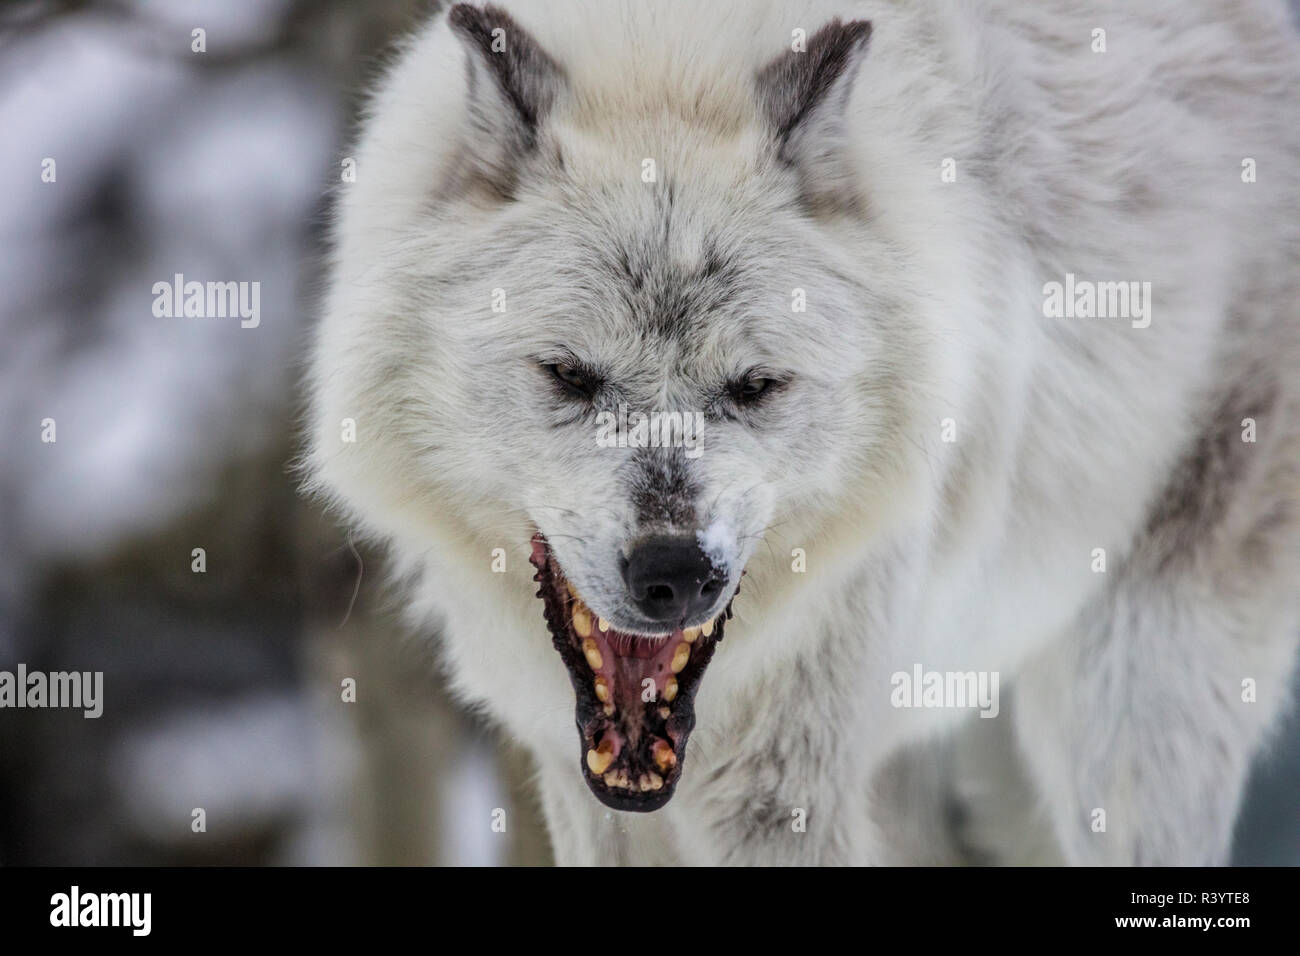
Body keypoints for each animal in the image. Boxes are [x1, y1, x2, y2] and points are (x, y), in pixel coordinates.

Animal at [306, 0, 1300, 864]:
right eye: (569, 375)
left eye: (754, 386)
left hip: (1130, 700)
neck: (666, 54)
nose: (675, 574)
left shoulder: (783, 789)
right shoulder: (584, 778)